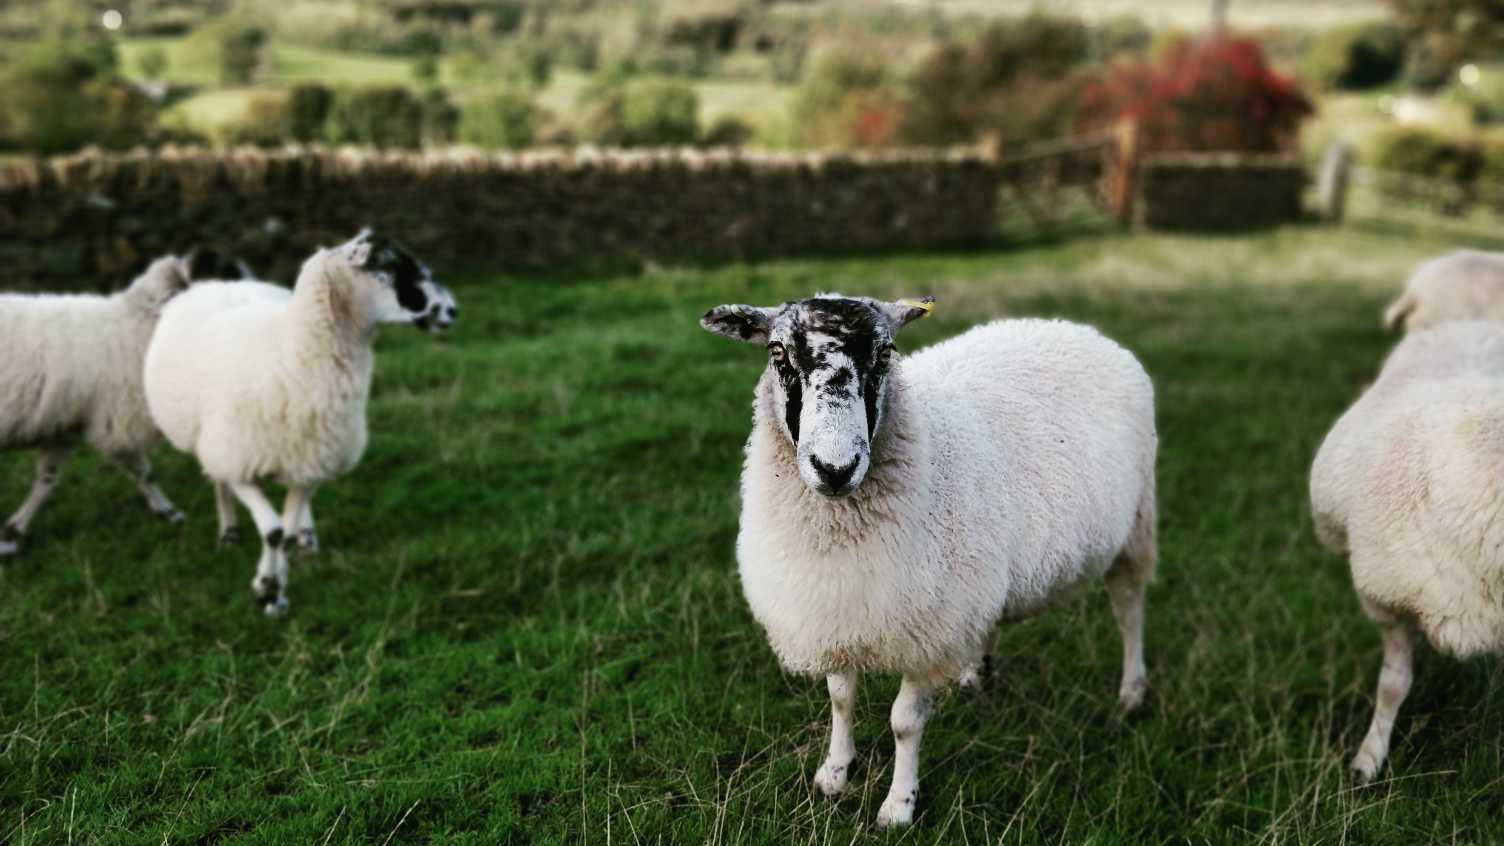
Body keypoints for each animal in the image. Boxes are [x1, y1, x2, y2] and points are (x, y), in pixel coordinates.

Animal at [0, 250, 250, 557]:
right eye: (228, 276)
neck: (140, 327)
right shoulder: (116, 421)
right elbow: (144, 472)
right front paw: (168, 511)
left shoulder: (62, 425)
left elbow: (46, 481)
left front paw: (11, 533)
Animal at [143, 229, 457, 617]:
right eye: (390, 266)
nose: (451, 310)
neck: (292, 351)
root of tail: (219, 283)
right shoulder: (238, 461)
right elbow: (274, 531)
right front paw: (265, 589)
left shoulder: (311, 461)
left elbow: (287, 534)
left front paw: (276, 592)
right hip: (210, 441)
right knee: (217, 478)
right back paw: (228, 531)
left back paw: (308, 541)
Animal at [699, 294, 1158, 828]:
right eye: (777, 352)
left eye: (886, 352)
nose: (834, 468)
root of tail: (1078, 329)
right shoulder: (835, 608)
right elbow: (840, 699)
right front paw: (834, 773)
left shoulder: (928, 628)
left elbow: (903, 724)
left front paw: (899, 806)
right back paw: (975, 674)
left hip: (1135, 526)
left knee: (1129, 611)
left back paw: (1131, 691)